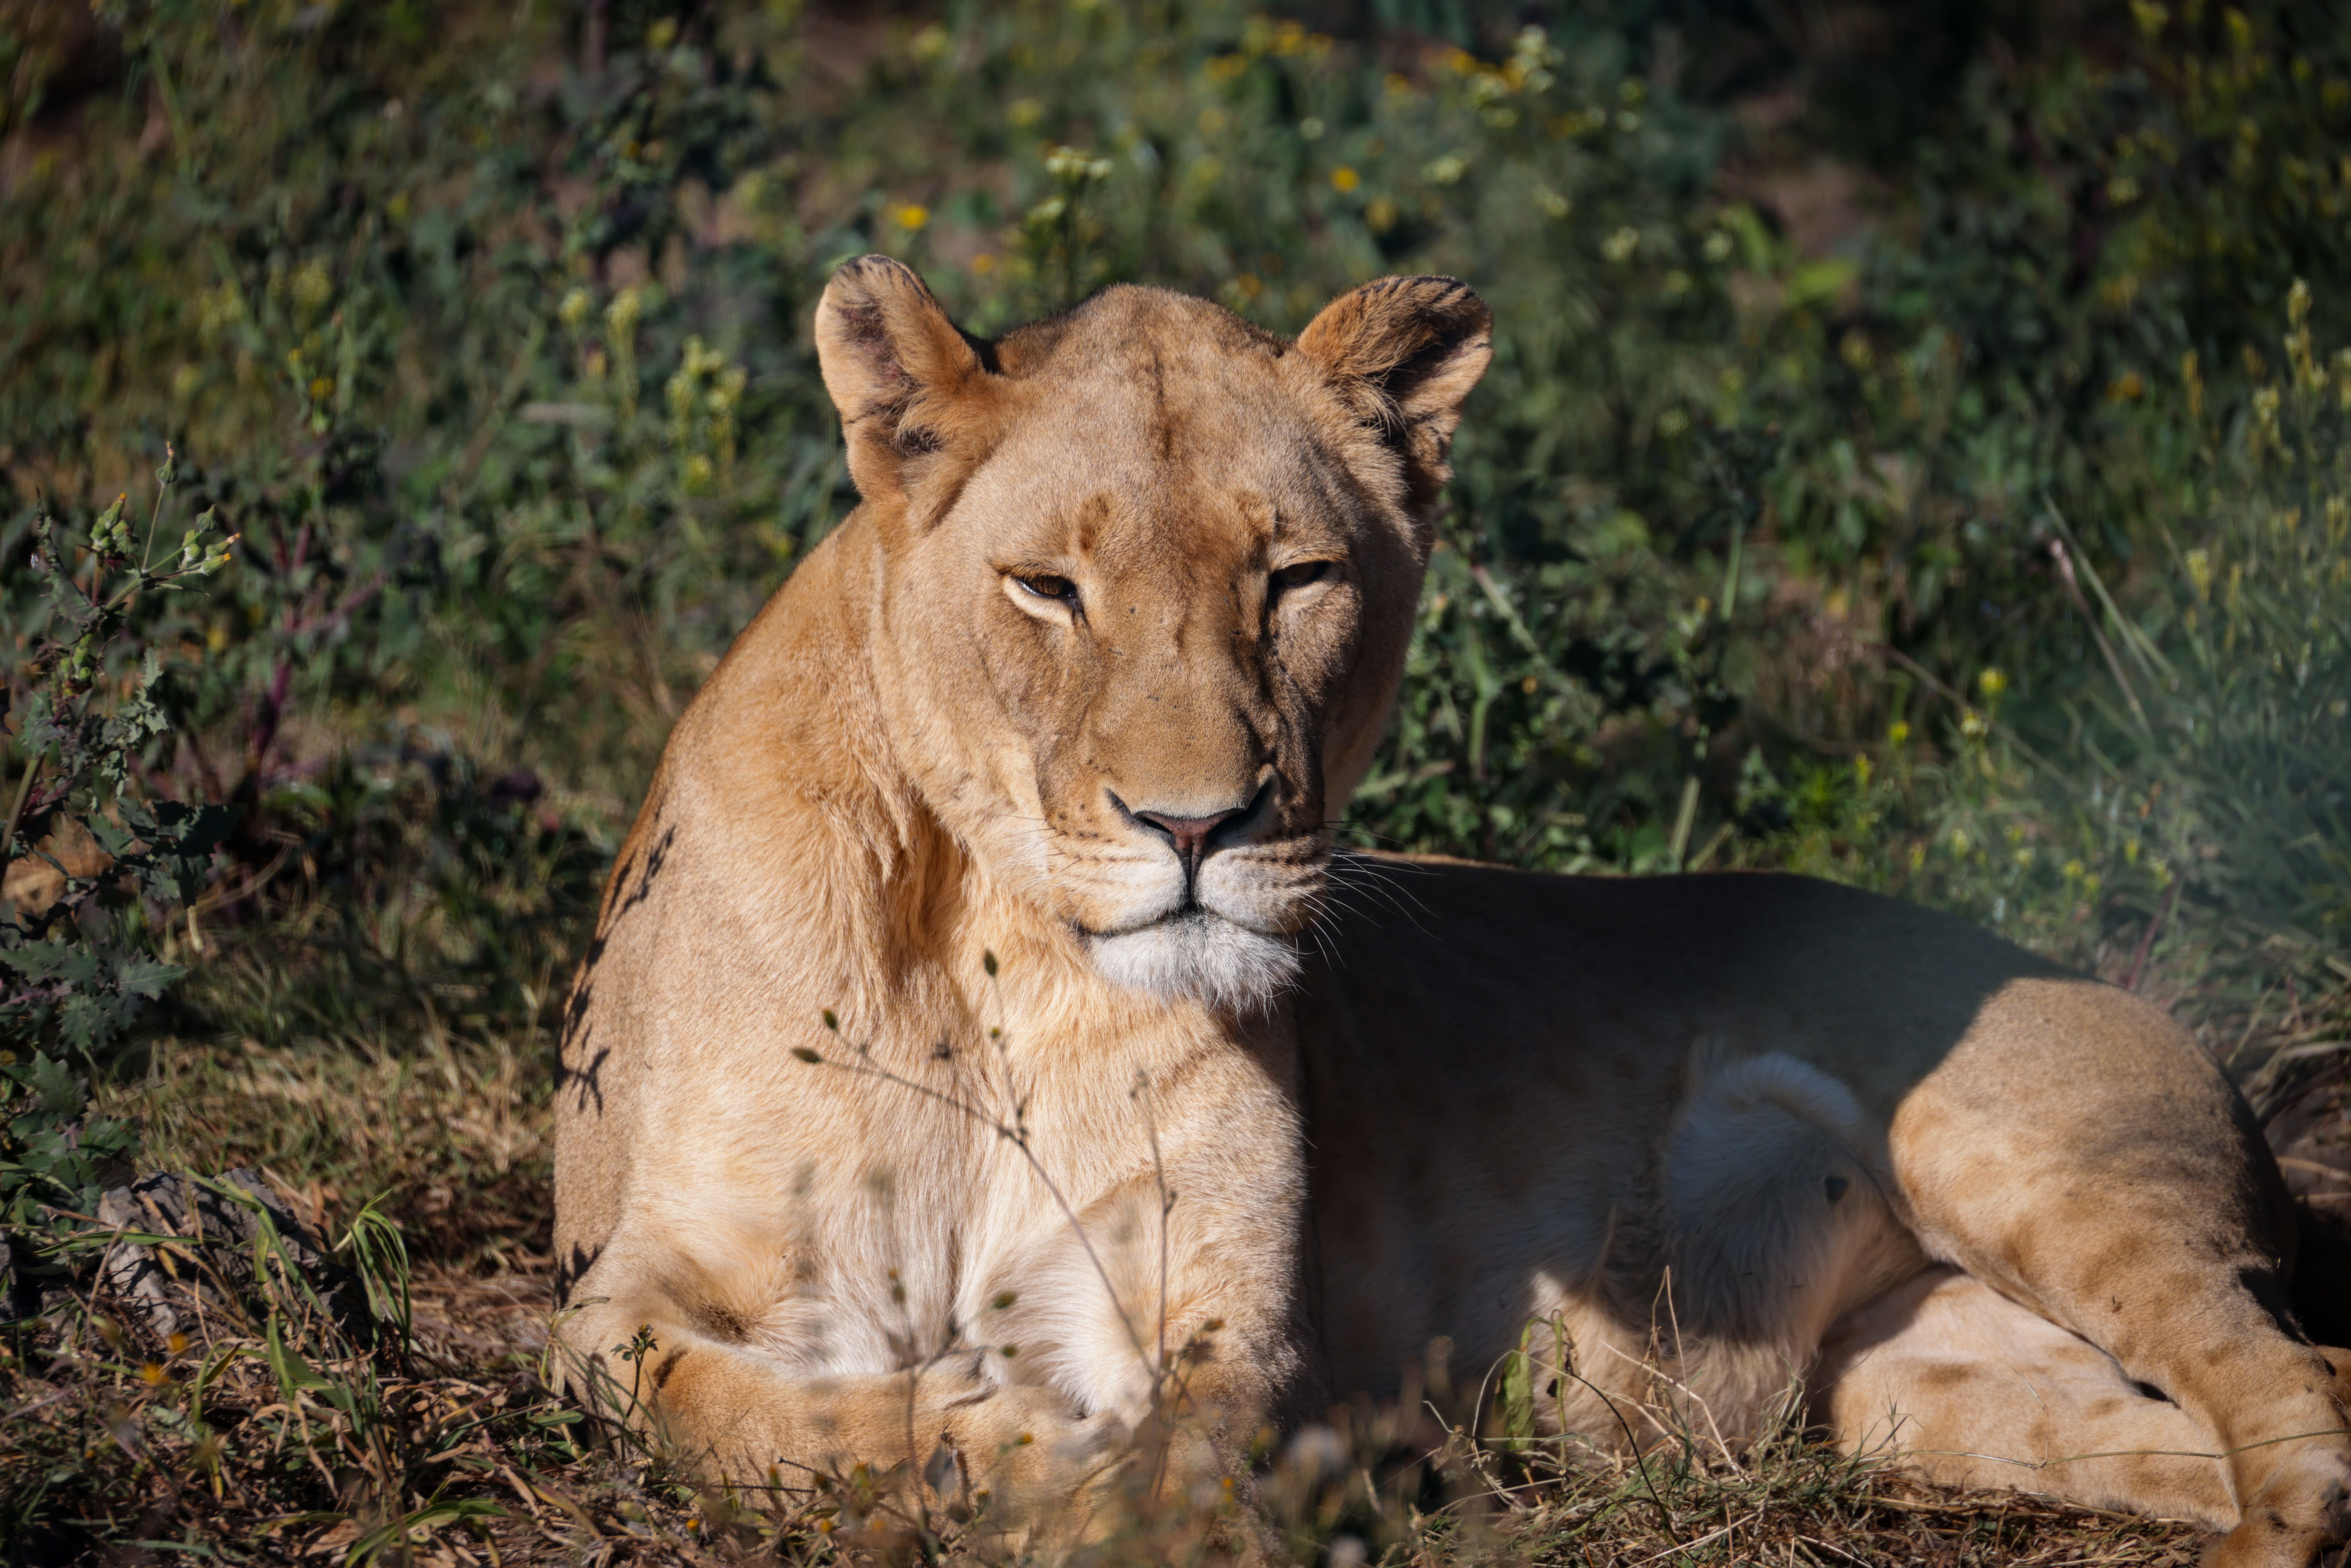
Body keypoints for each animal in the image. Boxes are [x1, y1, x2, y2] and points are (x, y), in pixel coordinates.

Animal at [553, 256, 2351, 1564]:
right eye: (1047, 590)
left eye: (1294, 580)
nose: (1195, 824)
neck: (985, 952)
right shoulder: (618, 1291)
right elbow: (715, 1408)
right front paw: (990, 1445)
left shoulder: (1232, 1317)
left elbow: (1170, 1466)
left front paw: (1071, 1475)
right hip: (1914, 1379)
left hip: (2026, 1162)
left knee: (2295, 1383)